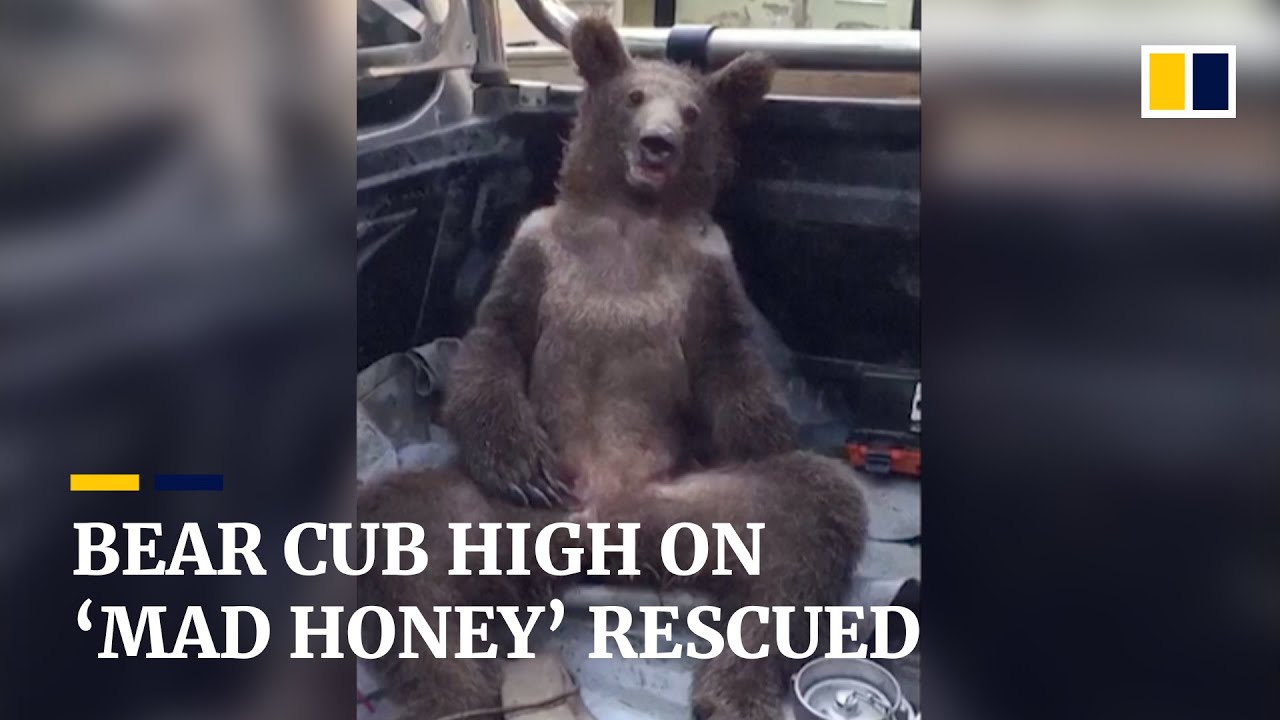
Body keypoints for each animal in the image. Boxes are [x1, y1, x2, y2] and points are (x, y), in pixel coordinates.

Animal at [358, 17, 869, 720]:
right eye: (633, 97)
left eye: (692, 111)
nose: (659, 143)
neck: (631, 217)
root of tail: (602, 538)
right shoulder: (537, 250)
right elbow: (494, 343)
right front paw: (520, 462)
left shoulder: (708, 271)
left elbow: (730, 365)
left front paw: (761, 434)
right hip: (495, 518)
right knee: (402, 533)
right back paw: (461, 694)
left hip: (701, 511)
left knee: (809, 523)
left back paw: (735, 688)